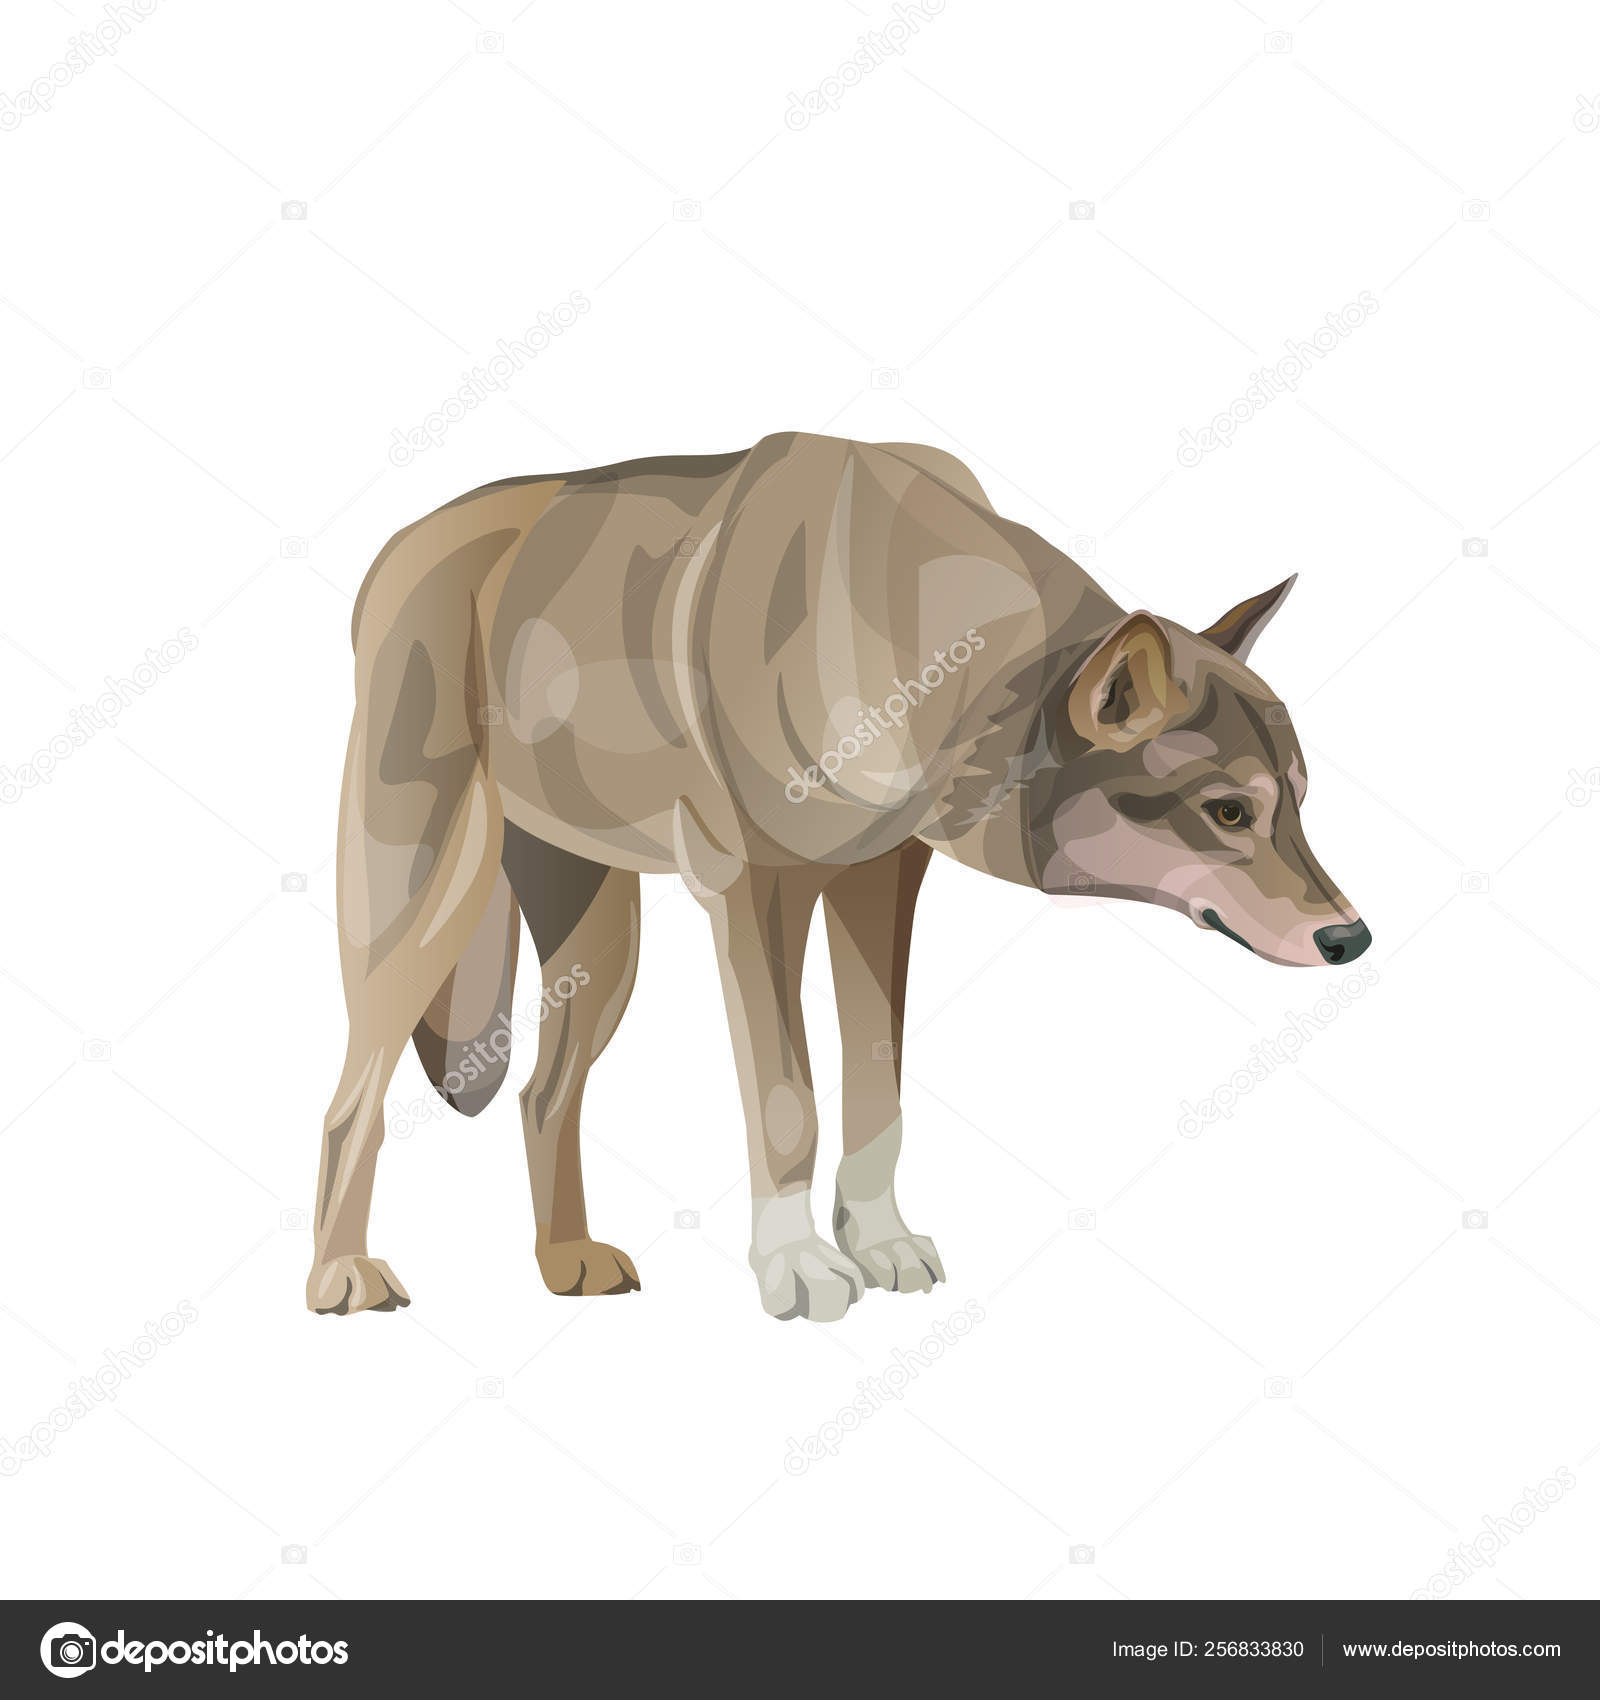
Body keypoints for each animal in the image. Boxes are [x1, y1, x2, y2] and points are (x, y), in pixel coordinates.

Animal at [308, 432, 1368, 1320]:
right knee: (351, 1100)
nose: (1350, 937)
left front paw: (882, 1245)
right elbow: (790, 1105)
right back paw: (340, 1277)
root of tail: (398, 545)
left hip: (604, 949)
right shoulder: (752, 893)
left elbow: (875, 1092)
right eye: (1227, 813)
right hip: (425, 909)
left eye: (1300, 802)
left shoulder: (880, 887)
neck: (912, 645)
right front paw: (797, 1268)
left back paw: (566, 1260)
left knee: (541, 1095)